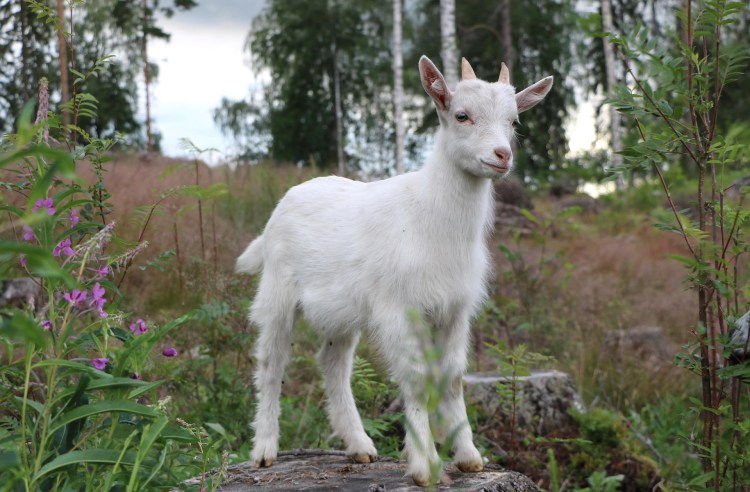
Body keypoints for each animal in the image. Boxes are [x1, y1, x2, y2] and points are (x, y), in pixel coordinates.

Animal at [236, 56, 553, 486]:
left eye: (514, 121)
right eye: (462, 115)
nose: (502, 155)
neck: (430, 218)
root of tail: (284, 203)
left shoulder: (455, 310)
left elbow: (453, 377)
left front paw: (469, 456)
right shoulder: (400, 309)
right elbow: (416, 379)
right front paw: (424, 464)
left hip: (341, 313)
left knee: (333, 364)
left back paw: (359, 445)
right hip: (277, 293)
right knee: (271, 364)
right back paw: (265, 449)